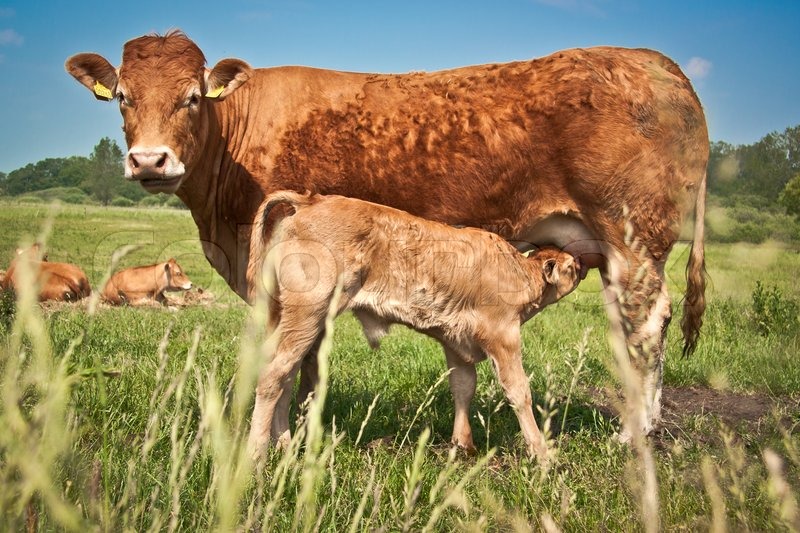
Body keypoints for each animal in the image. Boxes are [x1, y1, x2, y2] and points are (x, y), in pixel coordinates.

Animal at [248, 191, 581, 458]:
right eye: (571, 266)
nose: (581, 263)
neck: (518, 272)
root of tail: (310, 200)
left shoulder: (457, 343)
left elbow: (463, 387)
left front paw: (463, 445)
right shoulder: (504, 335)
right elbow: (518, 391)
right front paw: (542, 454)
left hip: (294, 320)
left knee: (286, 375)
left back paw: (285, 445)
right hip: (307, 314)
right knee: (272, 376)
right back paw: (256, 454)